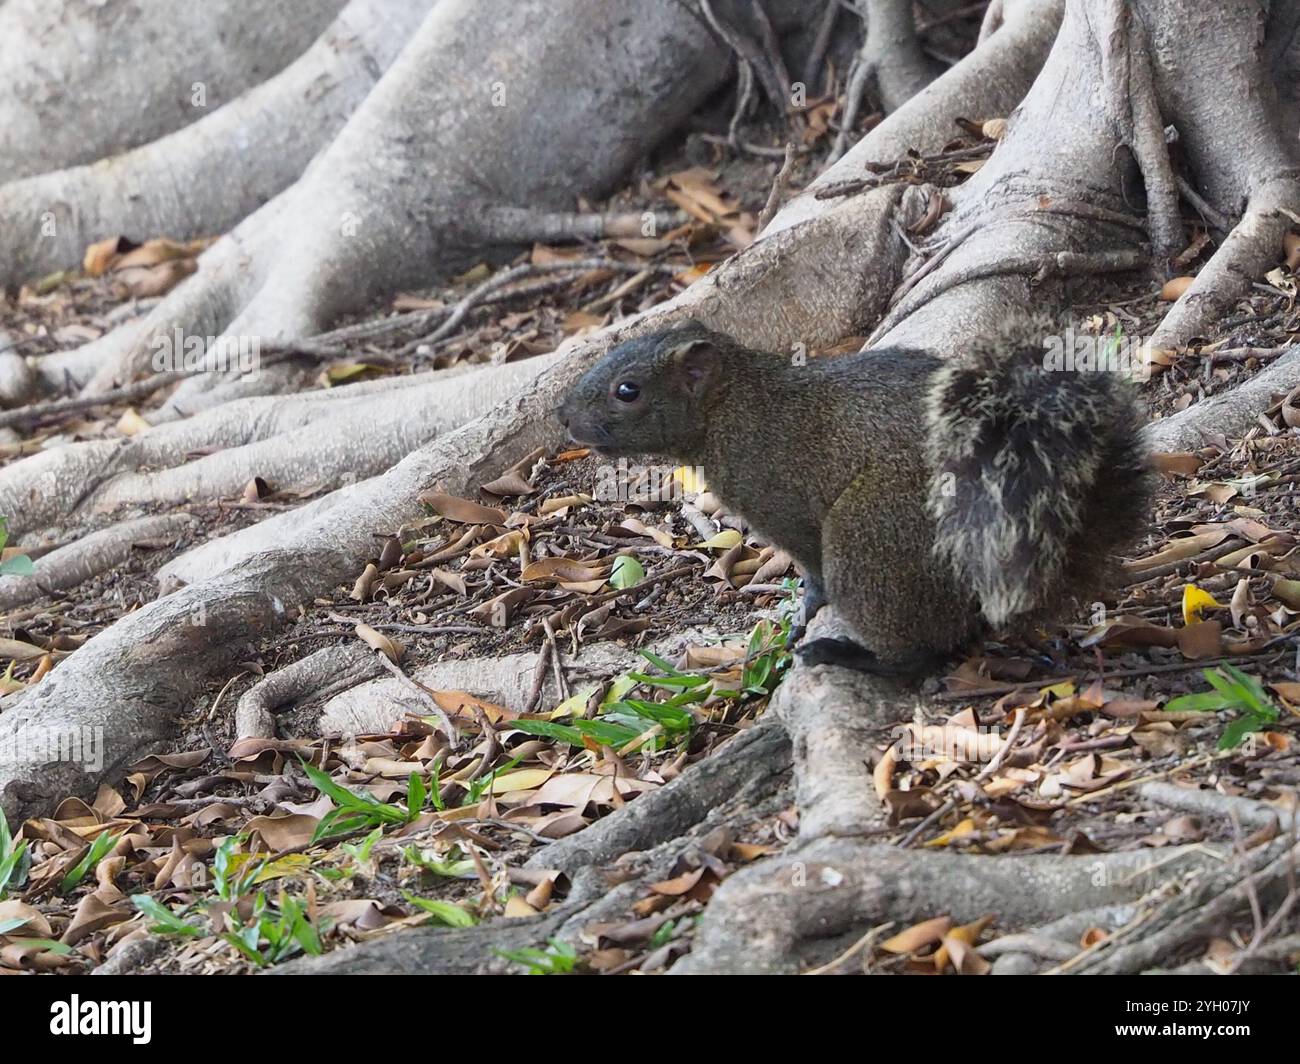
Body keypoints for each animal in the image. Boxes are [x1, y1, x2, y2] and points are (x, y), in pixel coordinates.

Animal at [557, 315, 1151, 677]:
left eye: (627, 390)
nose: (562, 417)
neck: (735, 406)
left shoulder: (779, 499)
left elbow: (811, 568)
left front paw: (804, 611)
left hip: (868, 535)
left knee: (921, 651)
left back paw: (849, 654)